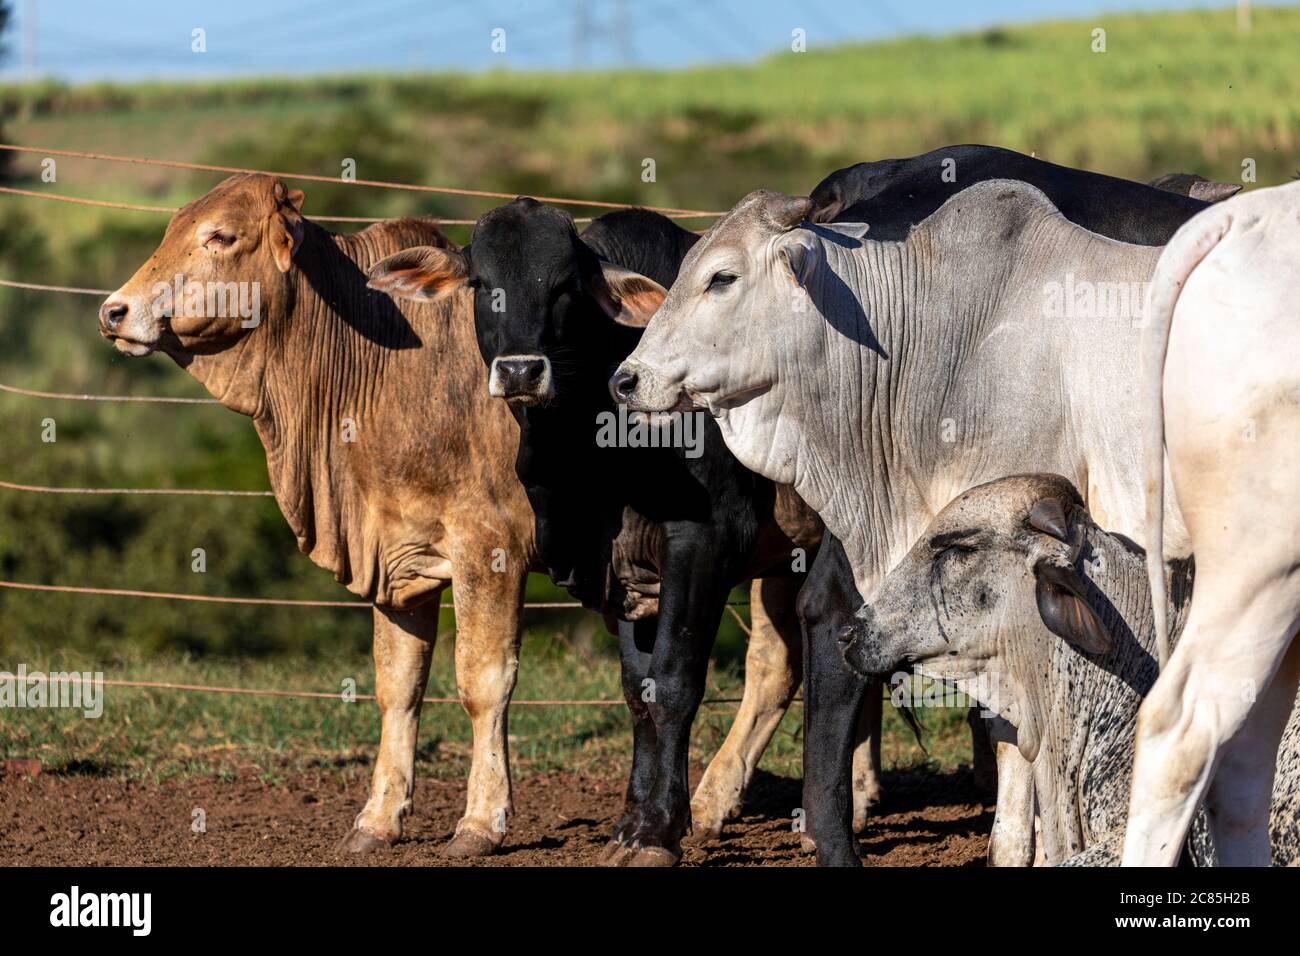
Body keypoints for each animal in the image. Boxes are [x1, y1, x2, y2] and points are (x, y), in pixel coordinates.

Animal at [97, 173, 539, 858]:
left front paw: (480, 822)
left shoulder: (492, 546)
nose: (114, 311)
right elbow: (398, 686)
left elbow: (483, 682)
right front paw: (378, 820)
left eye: (220, 236)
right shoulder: (397, 556)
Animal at [366, 199, 823, 865]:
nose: (521, 370)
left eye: (566, 287)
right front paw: (632, 825)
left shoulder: (704, 542)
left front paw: (658, 833)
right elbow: (639, 692)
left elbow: (676, 682)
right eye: (480, 284)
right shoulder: (627, 574)